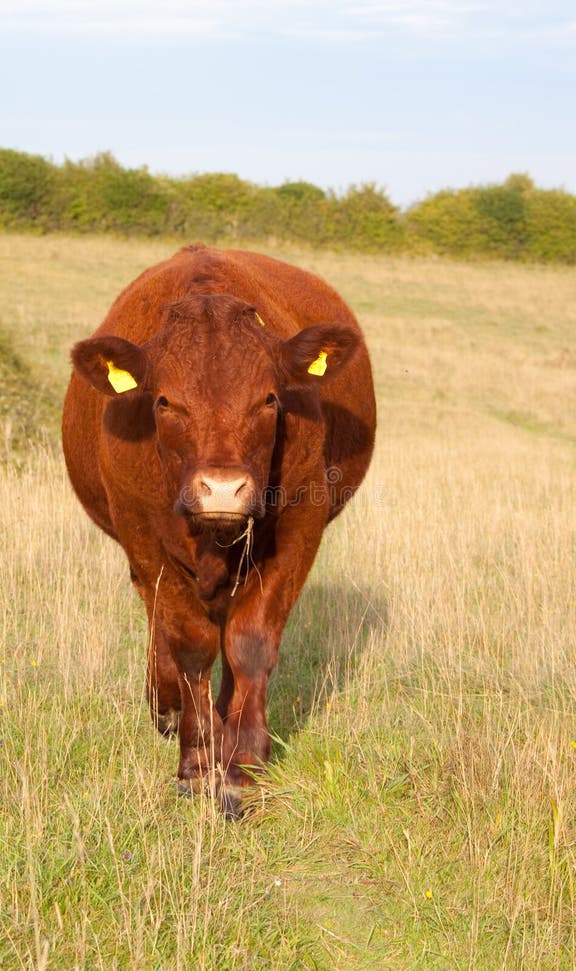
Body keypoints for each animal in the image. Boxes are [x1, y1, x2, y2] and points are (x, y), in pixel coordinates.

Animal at [62, 244, 376, 817]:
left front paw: (242, 763)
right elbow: (189, 646)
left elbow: (249, 642)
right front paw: (197, 761)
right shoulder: (142, 535)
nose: (223, 489)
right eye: (165, 401)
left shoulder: (297, 528)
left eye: (269, 399)